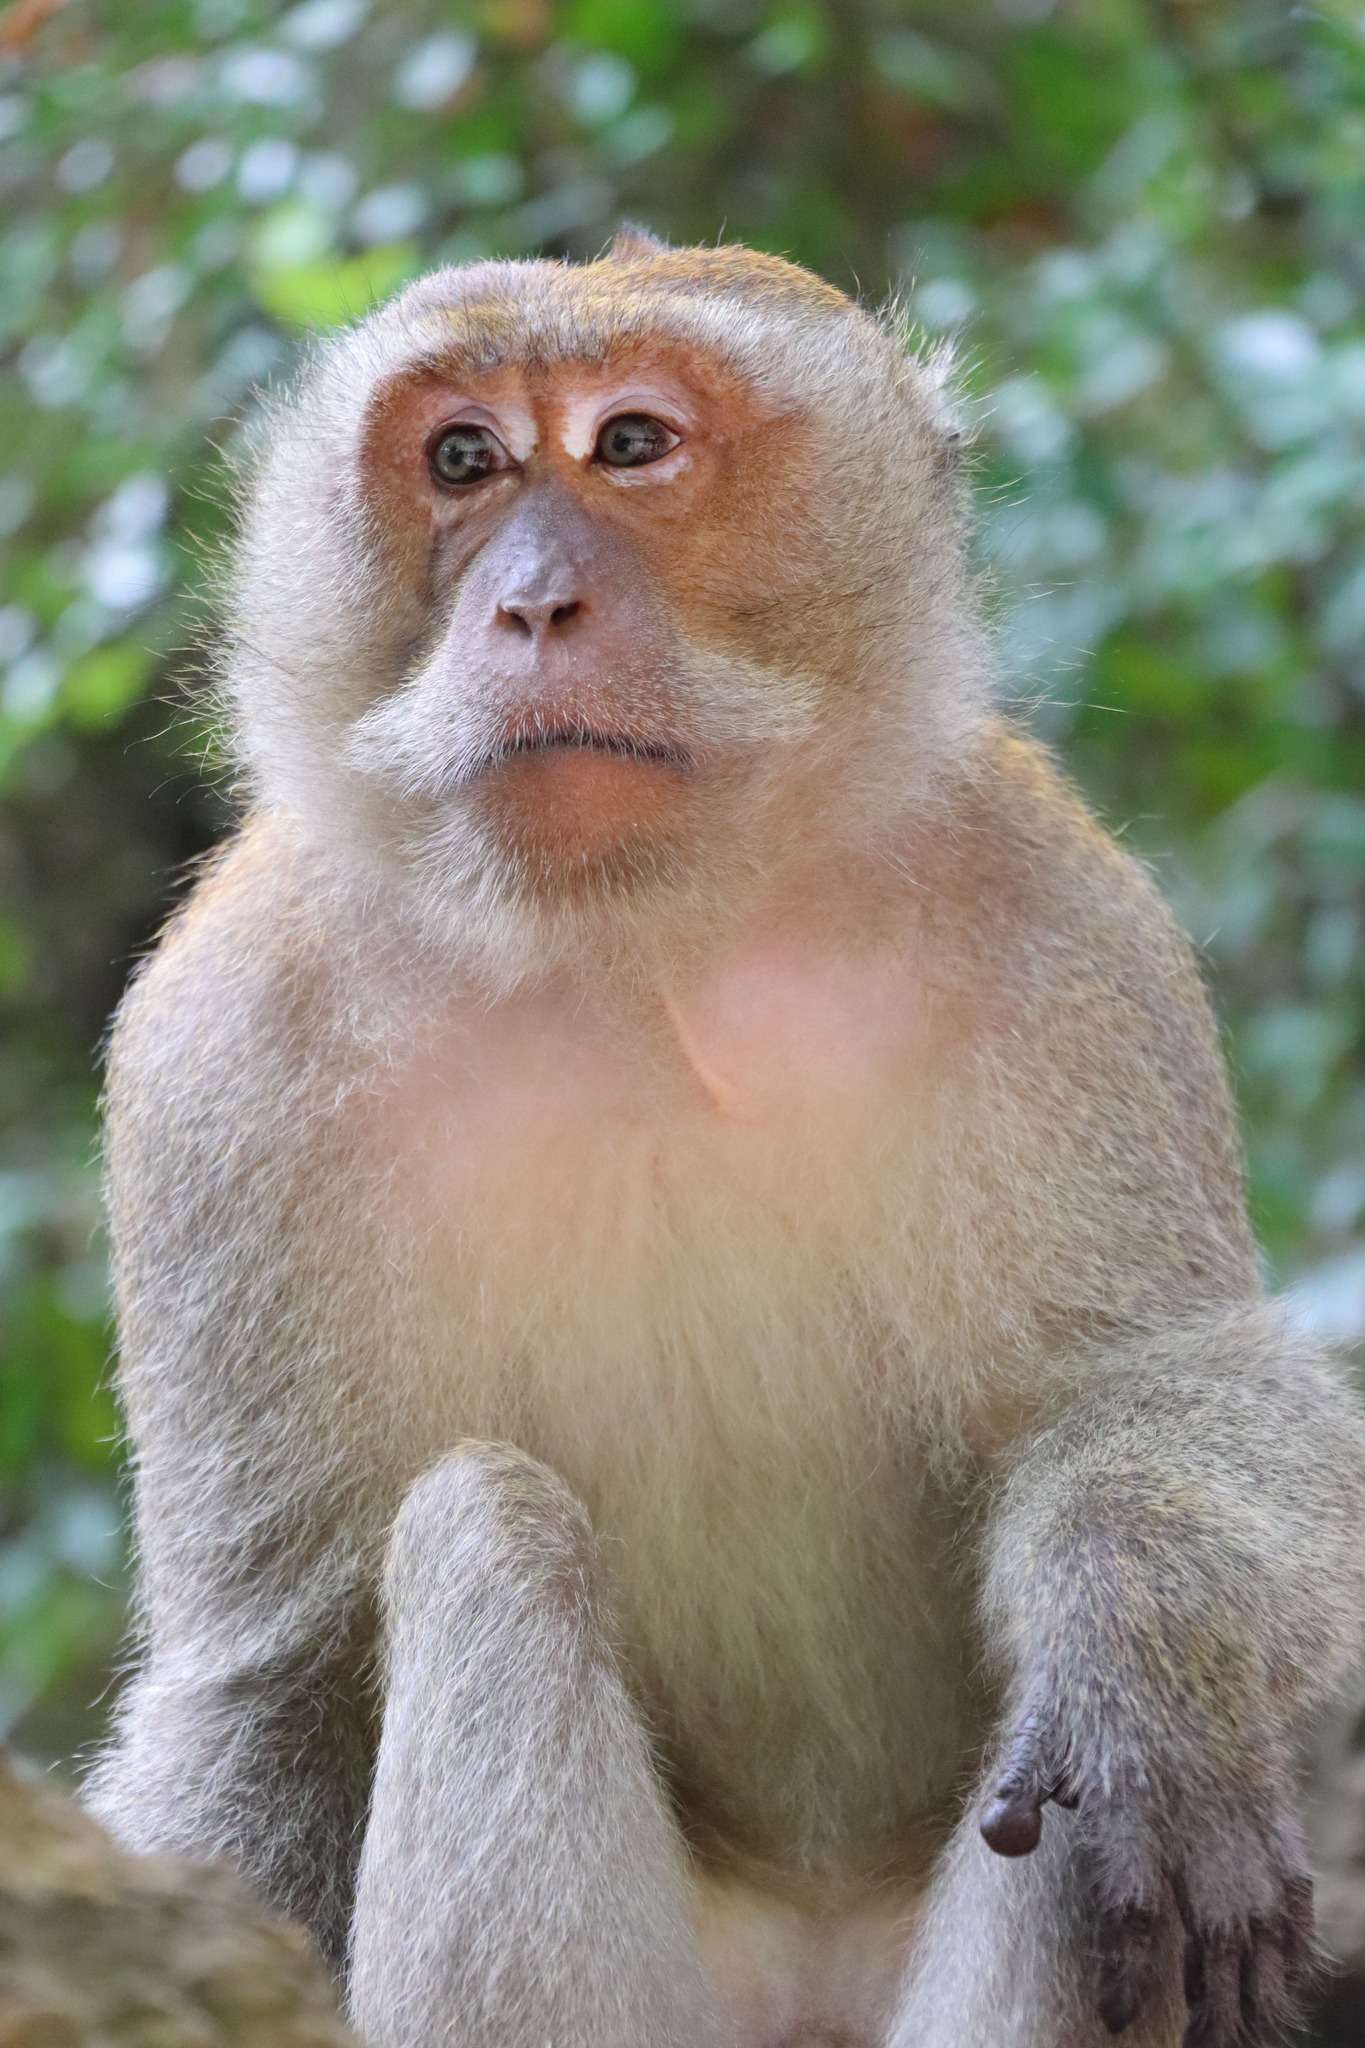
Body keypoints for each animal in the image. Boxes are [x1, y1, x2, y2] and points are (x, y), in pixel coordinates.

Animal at [83, 228, 1365, 2048]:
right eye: (462, 459)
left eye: (630, 443)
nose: (532, 602)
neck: (636, 950)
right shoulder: (222, 1051)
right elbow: (277, 1685)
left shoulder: (1050, 920)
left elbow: (1158, 1385)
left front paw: (1141, 1666)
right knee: (482, 1536)